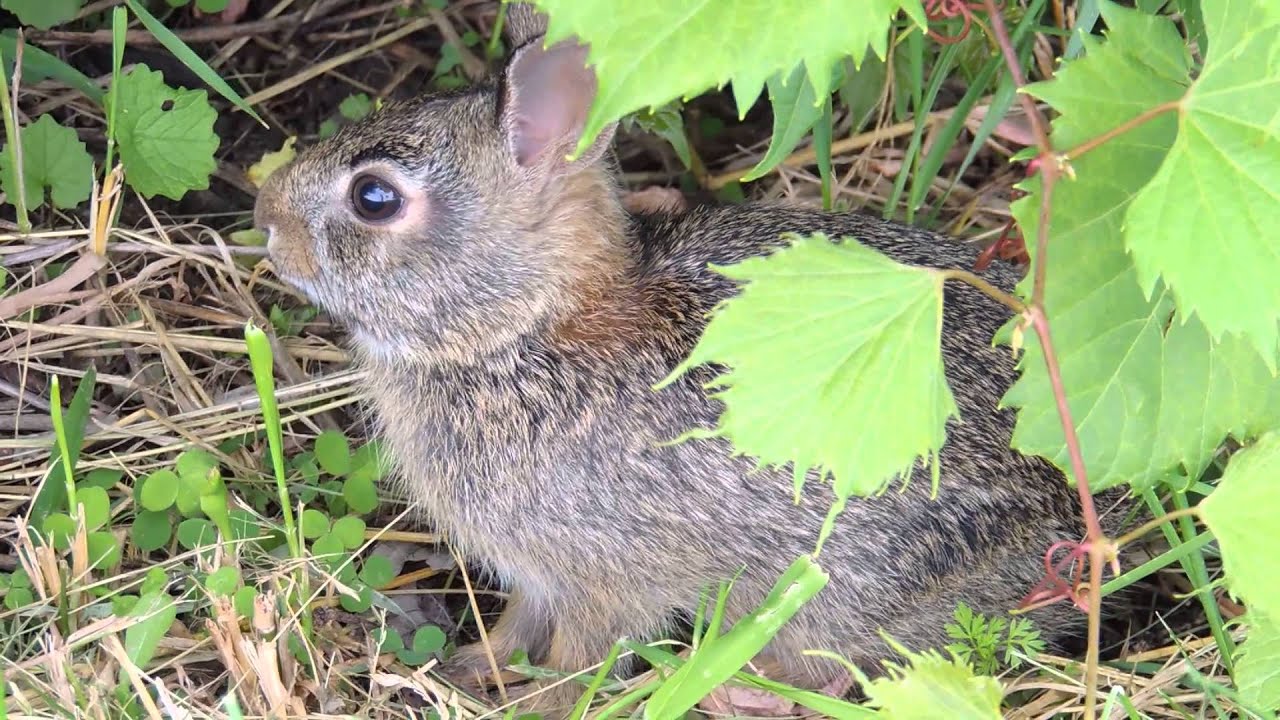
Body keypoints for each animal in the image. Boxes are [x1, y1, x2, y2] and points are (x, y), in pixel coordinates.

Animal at [253, 4, 1131, 716]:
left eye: (373, 198)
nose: (264, 219)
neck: (521, 332)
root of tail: (1078, 517)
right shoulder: (536, 575)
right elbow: (515, 625)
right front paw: (478, 664)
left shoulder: (601, 575)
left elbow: (580, 657)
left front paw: (538, 704)